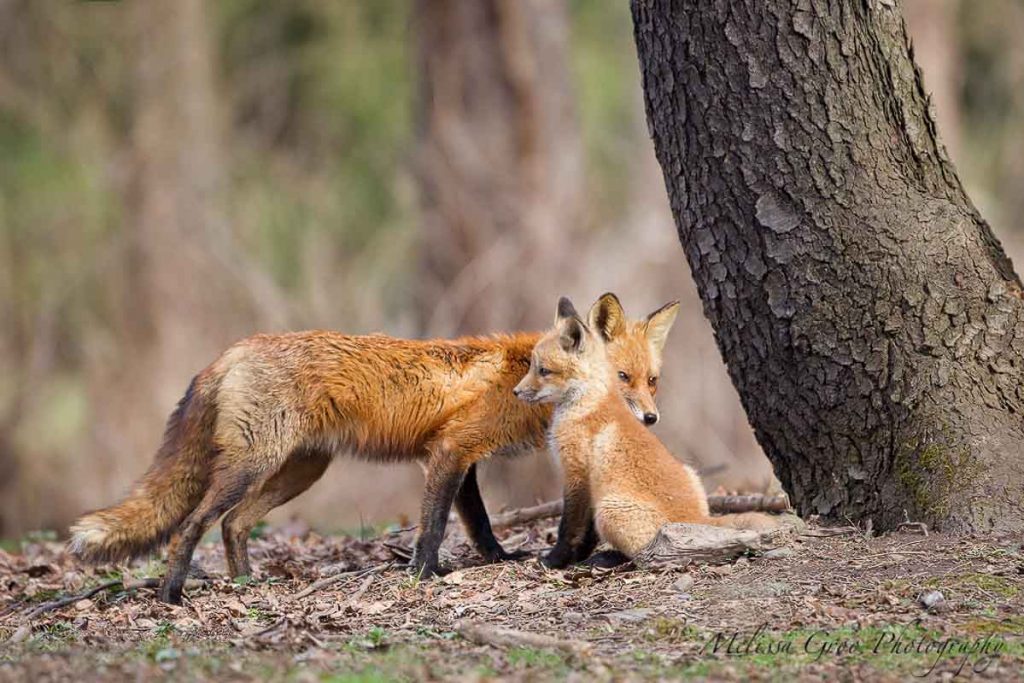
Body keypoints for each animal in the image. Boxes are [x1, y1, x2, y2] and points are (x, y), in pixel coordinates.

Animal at [68, 293, 680, 604]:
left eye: (653, 380)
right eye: (622, 378)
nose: (651, 419)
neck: (525, 374)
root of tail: (232, 350)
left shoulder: (461, 459)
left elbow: (477, 524)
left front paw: (496, 561)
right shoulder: (451, 450)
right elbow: (435, 524)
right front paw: (423, 575)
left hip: (301, 471)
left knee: (234, 524)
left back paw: (247, 583)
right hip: (251, 466)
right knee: (192, 526)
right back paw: (173, 593)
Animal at [513, 297, 780, 567]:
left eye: (543, 371)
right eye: (532, 367)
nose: (516, 392)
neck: (588, 401)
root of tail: (698, 519)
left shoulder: (576, 475)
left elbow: (568, 528)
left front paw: (554, 560)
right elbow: (586, 534)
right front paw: (576, 557)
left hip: (609, 510)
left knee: (644, 554)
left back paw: (612, 558)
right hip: (688, 474)